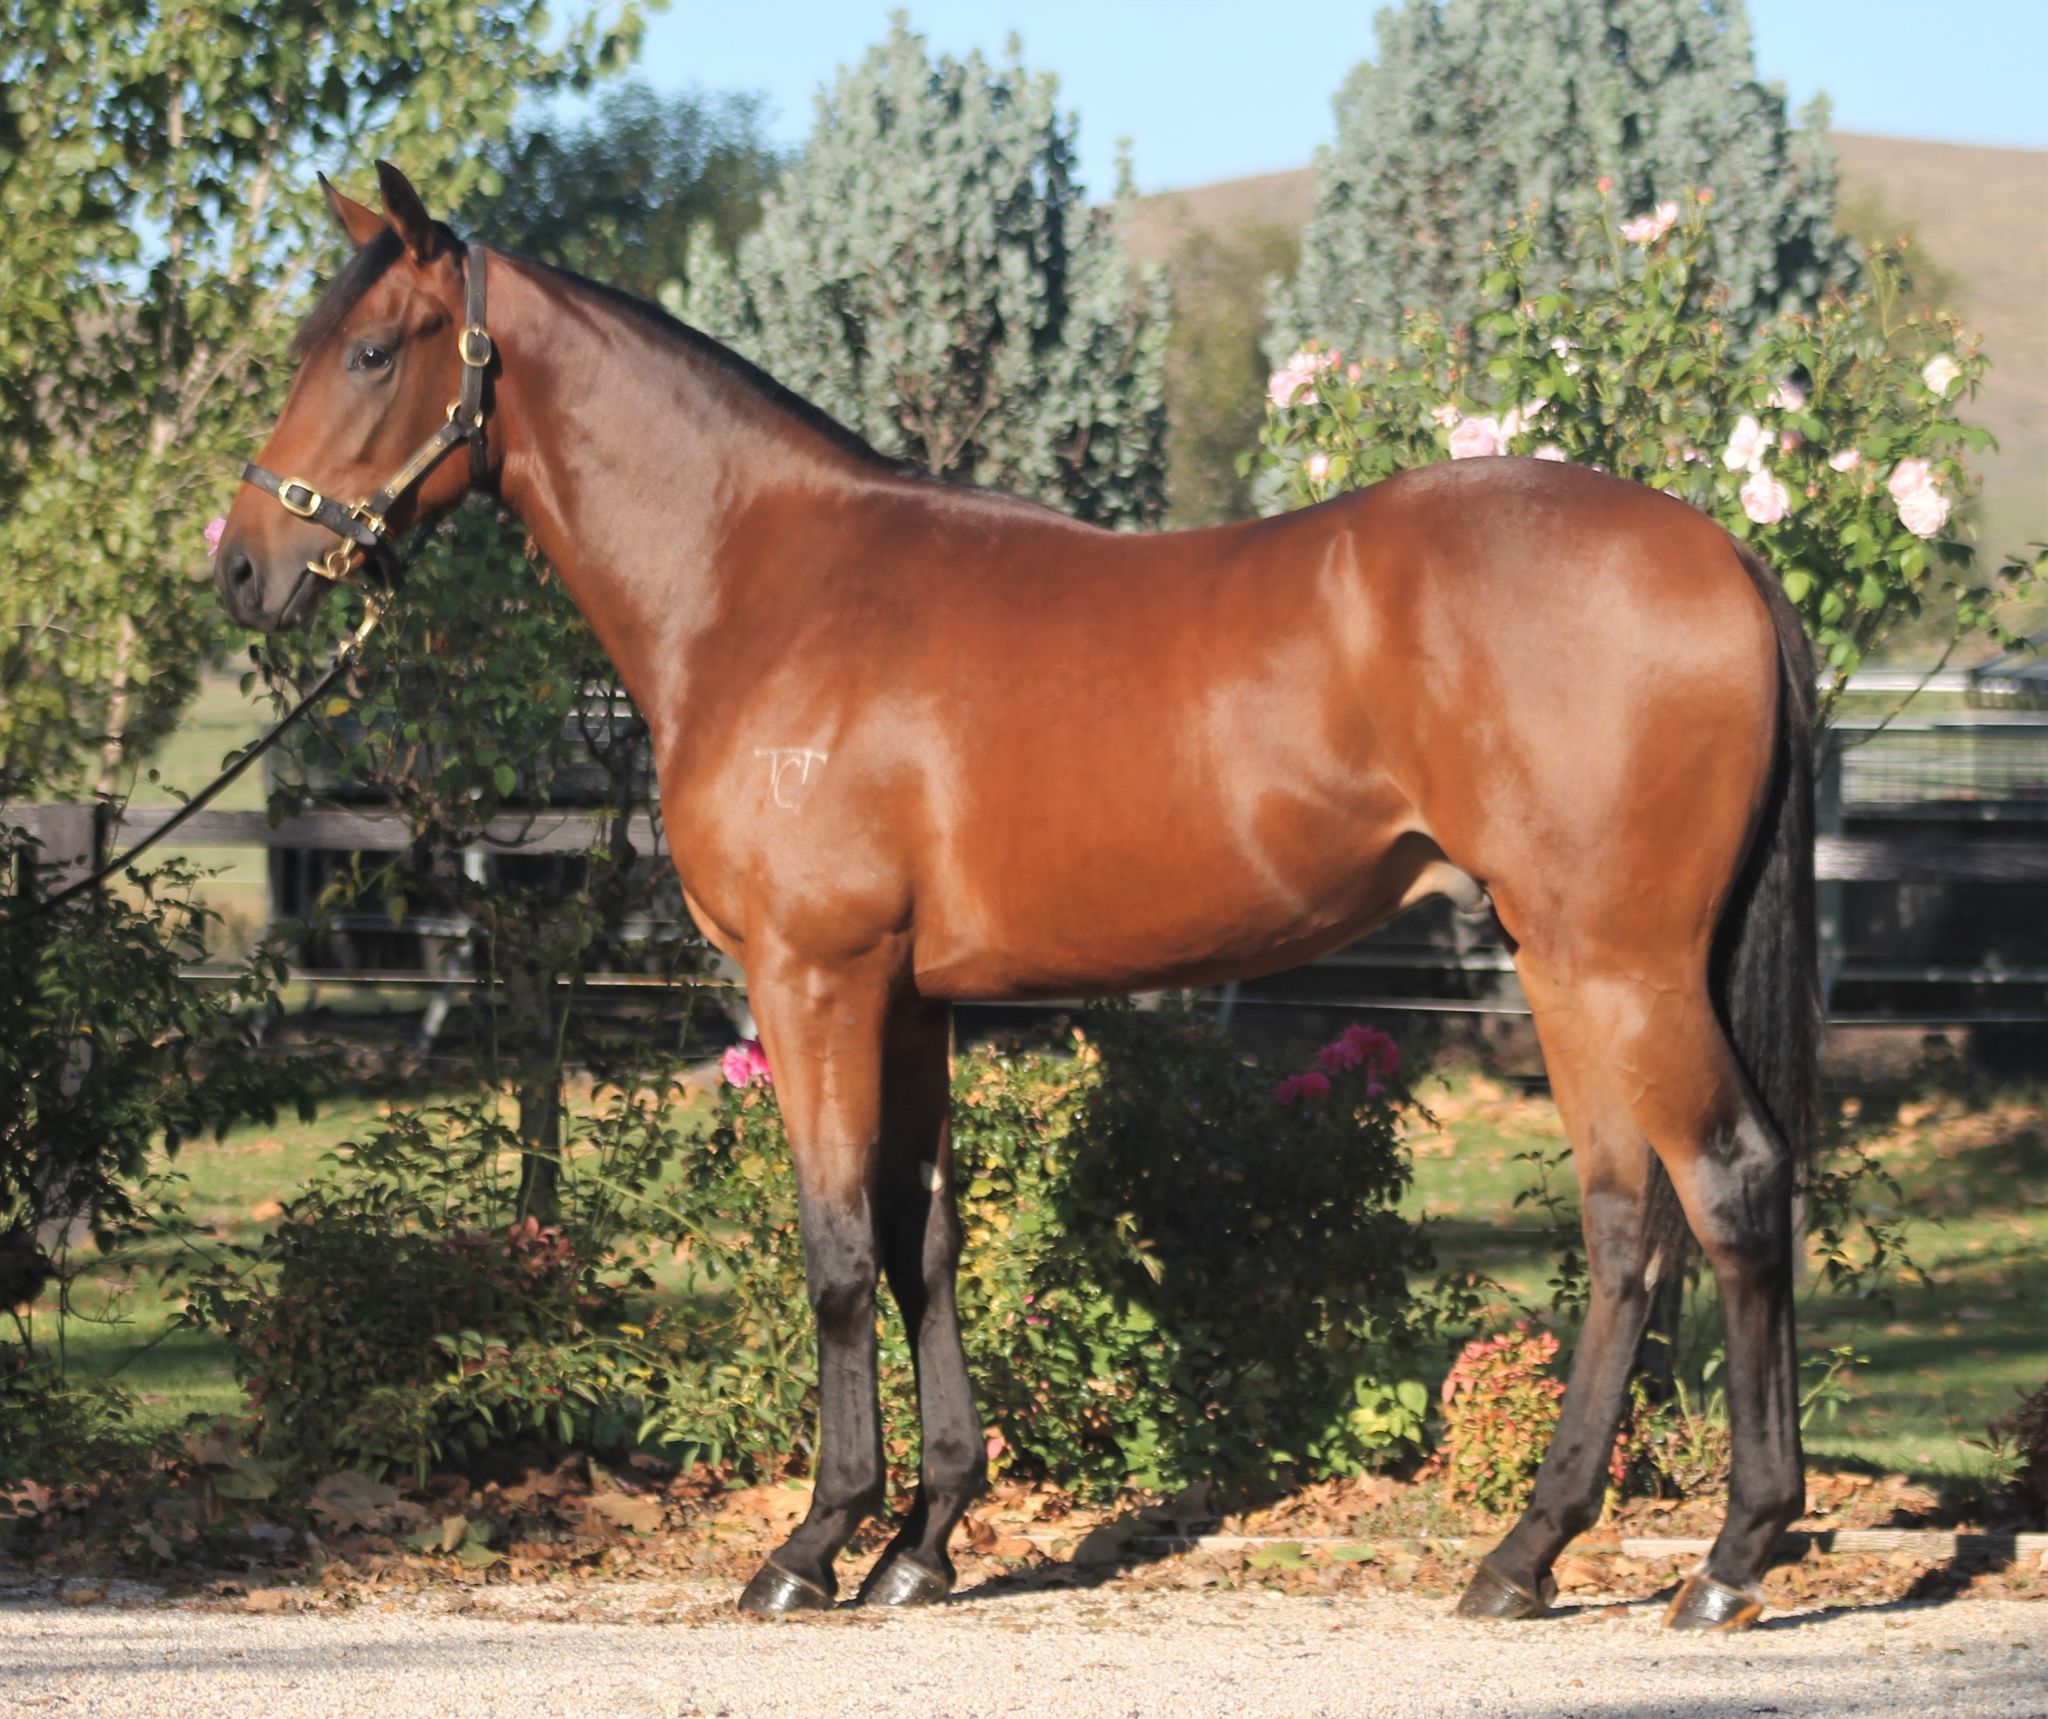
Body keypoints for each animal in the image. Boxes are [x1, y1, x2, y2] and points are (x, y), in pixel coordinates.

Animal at [214, 163, 1817, 1631]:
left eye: (373, 351)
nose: (243, 566)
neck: (764, 582)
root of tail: (1724, 554)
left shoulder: (812, 978)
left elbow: (836, 1251)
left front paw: (809, 1546)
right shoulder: (908, 1000)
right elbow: (919, 1244)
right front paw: (919, 1543)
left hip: (1616, 960)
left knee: (1728, 1186)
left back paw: (1729, 1560)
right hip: (1570, 961)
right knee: (1625, 1224)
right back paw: (1525, 1556)